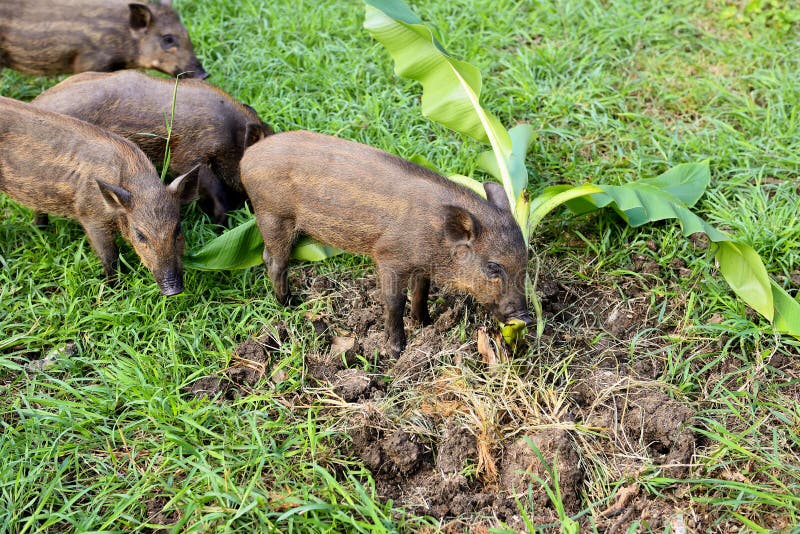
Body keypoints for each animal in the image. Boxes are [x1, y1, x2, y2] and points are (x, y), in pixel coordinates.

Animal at [0, 96, 200, 295]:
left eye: (178, 228)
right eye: (140, 235)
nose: (173, 290)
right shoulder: (90, 217)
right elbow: (109, 256)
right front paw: (114, 290)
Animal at [240, 131, 533, 356]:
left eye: (525, 260)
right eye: (493, 267)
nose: (526, 316)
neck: (437, 239)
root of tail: (247, 158)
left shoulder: (421, 265)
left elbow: (421, 291)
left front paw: (425, 323)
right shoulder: (389, 257)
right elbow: (394, 301)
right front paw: (396, 351)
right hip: (273, 215)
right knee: (274, 260)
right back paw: (289, 303)